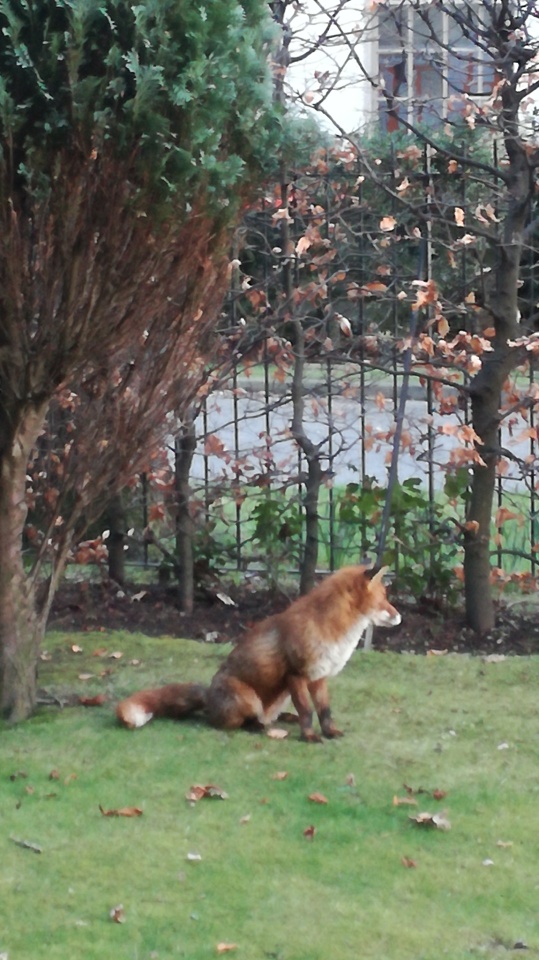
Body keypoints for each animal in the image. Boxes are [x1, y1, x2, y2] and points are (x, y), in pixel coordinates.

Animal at [116, 564, 401, 742]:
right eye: (384, 598)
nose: (399, 616)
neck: (335, 631)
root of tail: (208, 697)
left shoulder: (319, 676)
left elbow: (324, 711)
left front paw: (330, 732)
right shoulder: (296, 675)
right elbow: (307, 711)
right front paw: (309, 736)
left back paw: (282, 718)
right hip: (248, 698)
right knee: (238, 722)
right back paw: (258, 727)